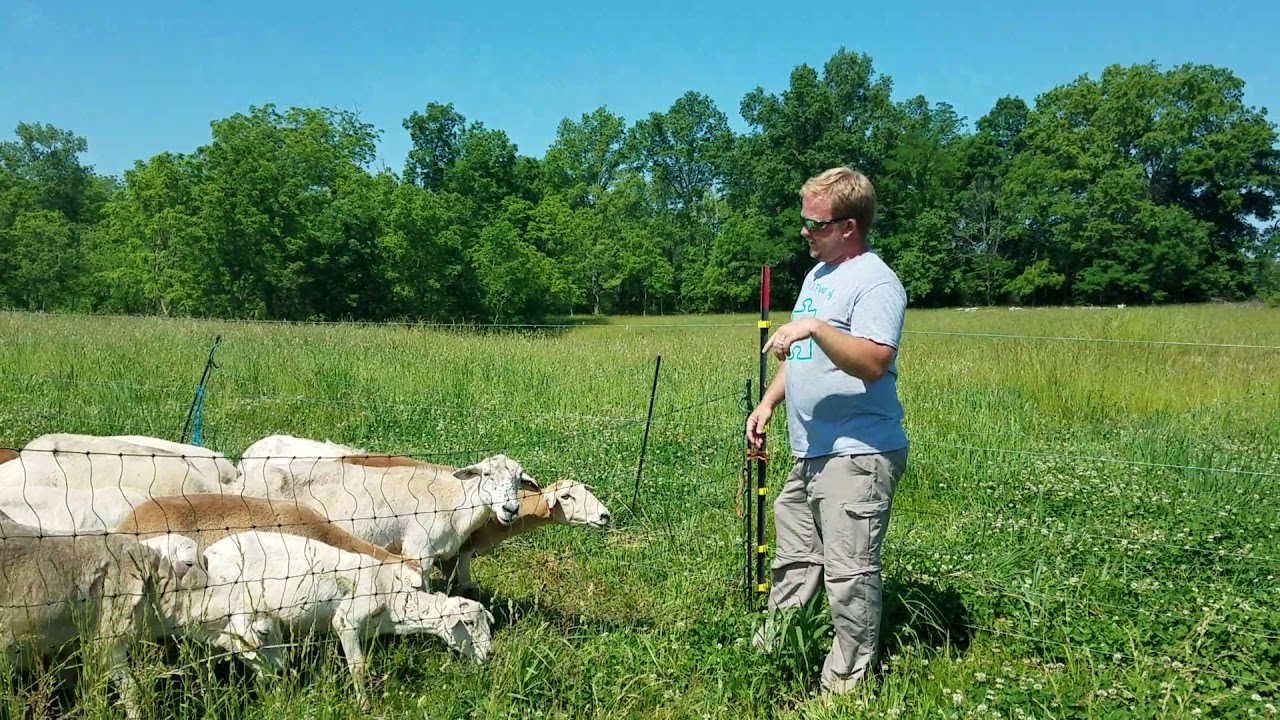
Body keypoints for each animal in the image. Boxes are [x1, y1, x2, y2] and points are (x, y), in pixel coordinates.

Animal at [203, 530, 496, 711]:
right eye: (469, 624)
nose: (491, 654)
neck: (392, 600)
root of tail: (209, 552)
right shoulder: (346, 620)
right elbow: (357, 666)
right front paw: (364, 705)